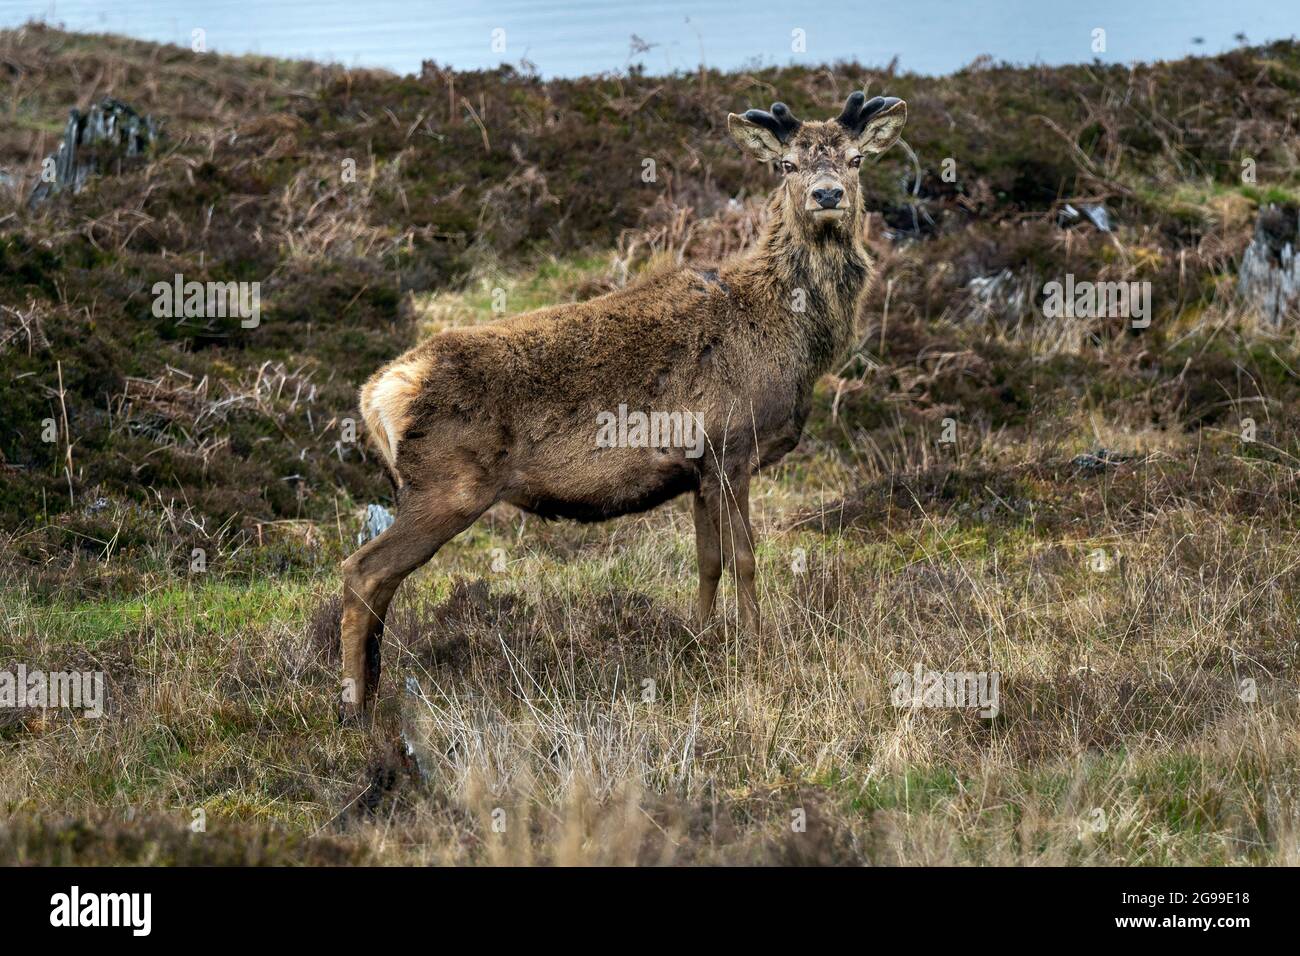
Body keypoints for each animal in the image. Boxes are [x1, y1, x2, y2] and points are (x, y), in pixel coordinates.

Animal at [340, 90, 907, 718]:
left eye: (856, 159)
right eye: (787, 164)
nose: (827, 194)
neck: (787, 336)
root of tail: (375, 395)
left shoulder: (698, 466)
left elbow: (707, 561)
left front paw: (699, 641)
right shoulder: (733, 445)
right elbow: (745, 558)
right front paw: (759, 649)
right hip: (448, 485)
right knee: (362, 570)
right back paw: (356, 707)